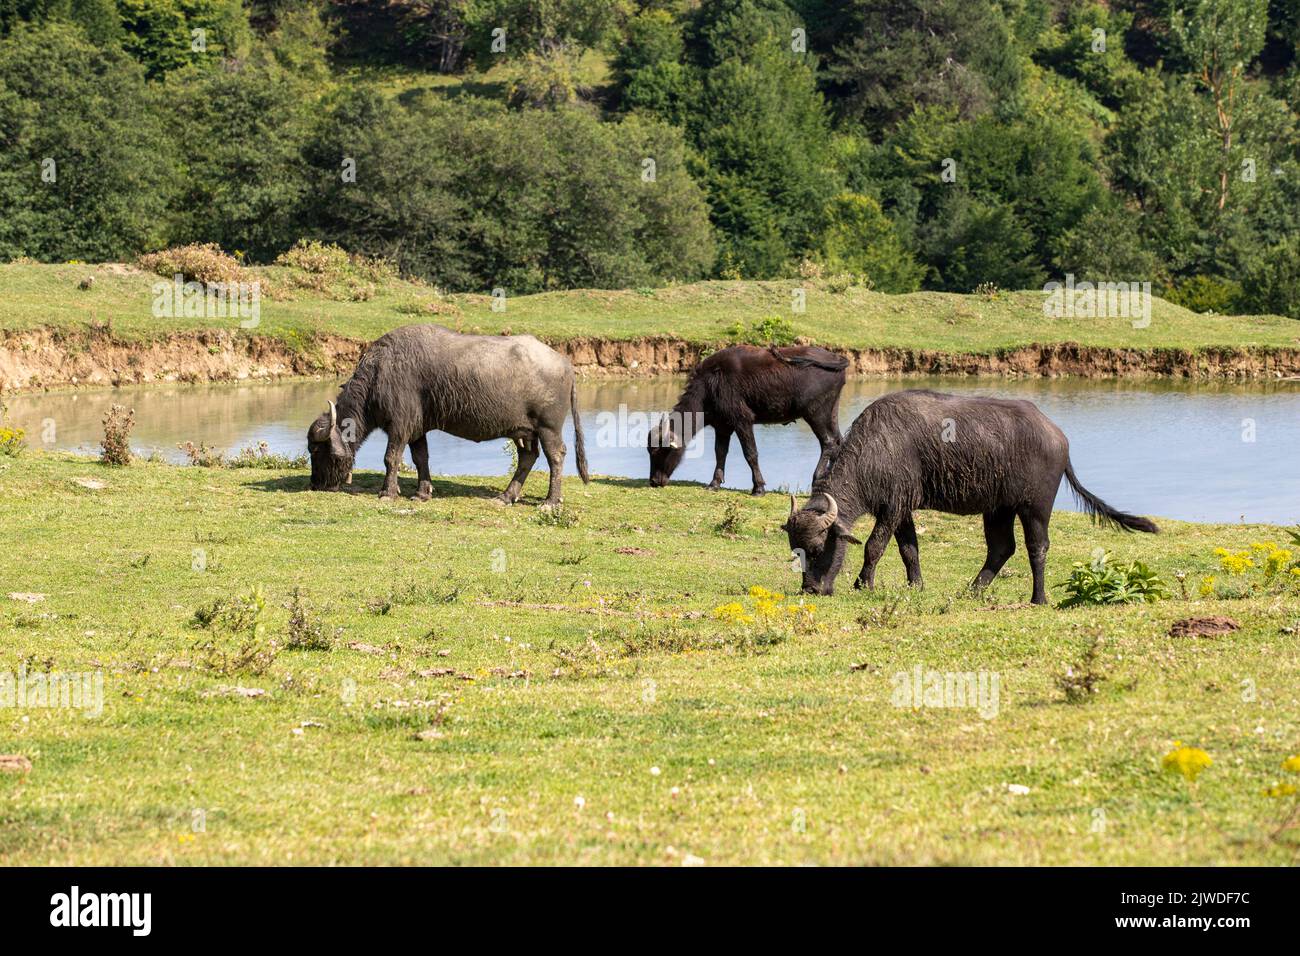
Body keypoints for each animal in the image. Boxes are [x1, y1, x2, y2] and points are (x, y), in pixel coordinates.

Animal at [308, 324, 588, 507]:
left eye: (316, 450)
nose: (315, 484)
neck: (380, 373)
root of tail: (565, 363)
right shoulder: (417, 429)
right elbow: (420, 459)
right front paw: (423, 493)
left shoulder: (400, 426)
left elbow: (391, 458)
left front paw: (387, 492)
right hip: (524, 431)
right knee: (528, 457)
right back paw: (506, 497)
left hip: (548, 427)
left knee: (556, 457)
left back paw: (551, 501)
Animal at [648, 344, 848, 495]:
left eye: (661, 450)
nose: (654, 481)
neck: (711, 384)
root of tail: (836, 359)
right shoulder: (723, 427)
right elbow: (720, 452)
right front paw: (714, 483)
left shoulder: (742, 421)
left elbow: (750, 454)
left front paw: (758, 488)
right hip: (832, 411)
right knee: (839, 441)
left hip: (816, 413)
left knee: (829, 442)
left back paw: (817, 479)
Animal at [784, 389, 1158, 603]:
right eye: (795, 551)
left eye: (817, 549)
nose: (811, 589)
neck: (877, 449)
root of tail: (1057, 436)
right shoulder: (903, 508)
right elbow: (909, 550)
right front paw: (916, 586)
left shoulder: (892, 507)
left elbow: (875, 546)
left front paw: (864, 584)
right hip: (998, 508)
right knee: (1002, 548)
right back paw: (973, 590)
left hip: (1035, 506)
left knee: (1037, 547)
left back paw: (1038, 598)